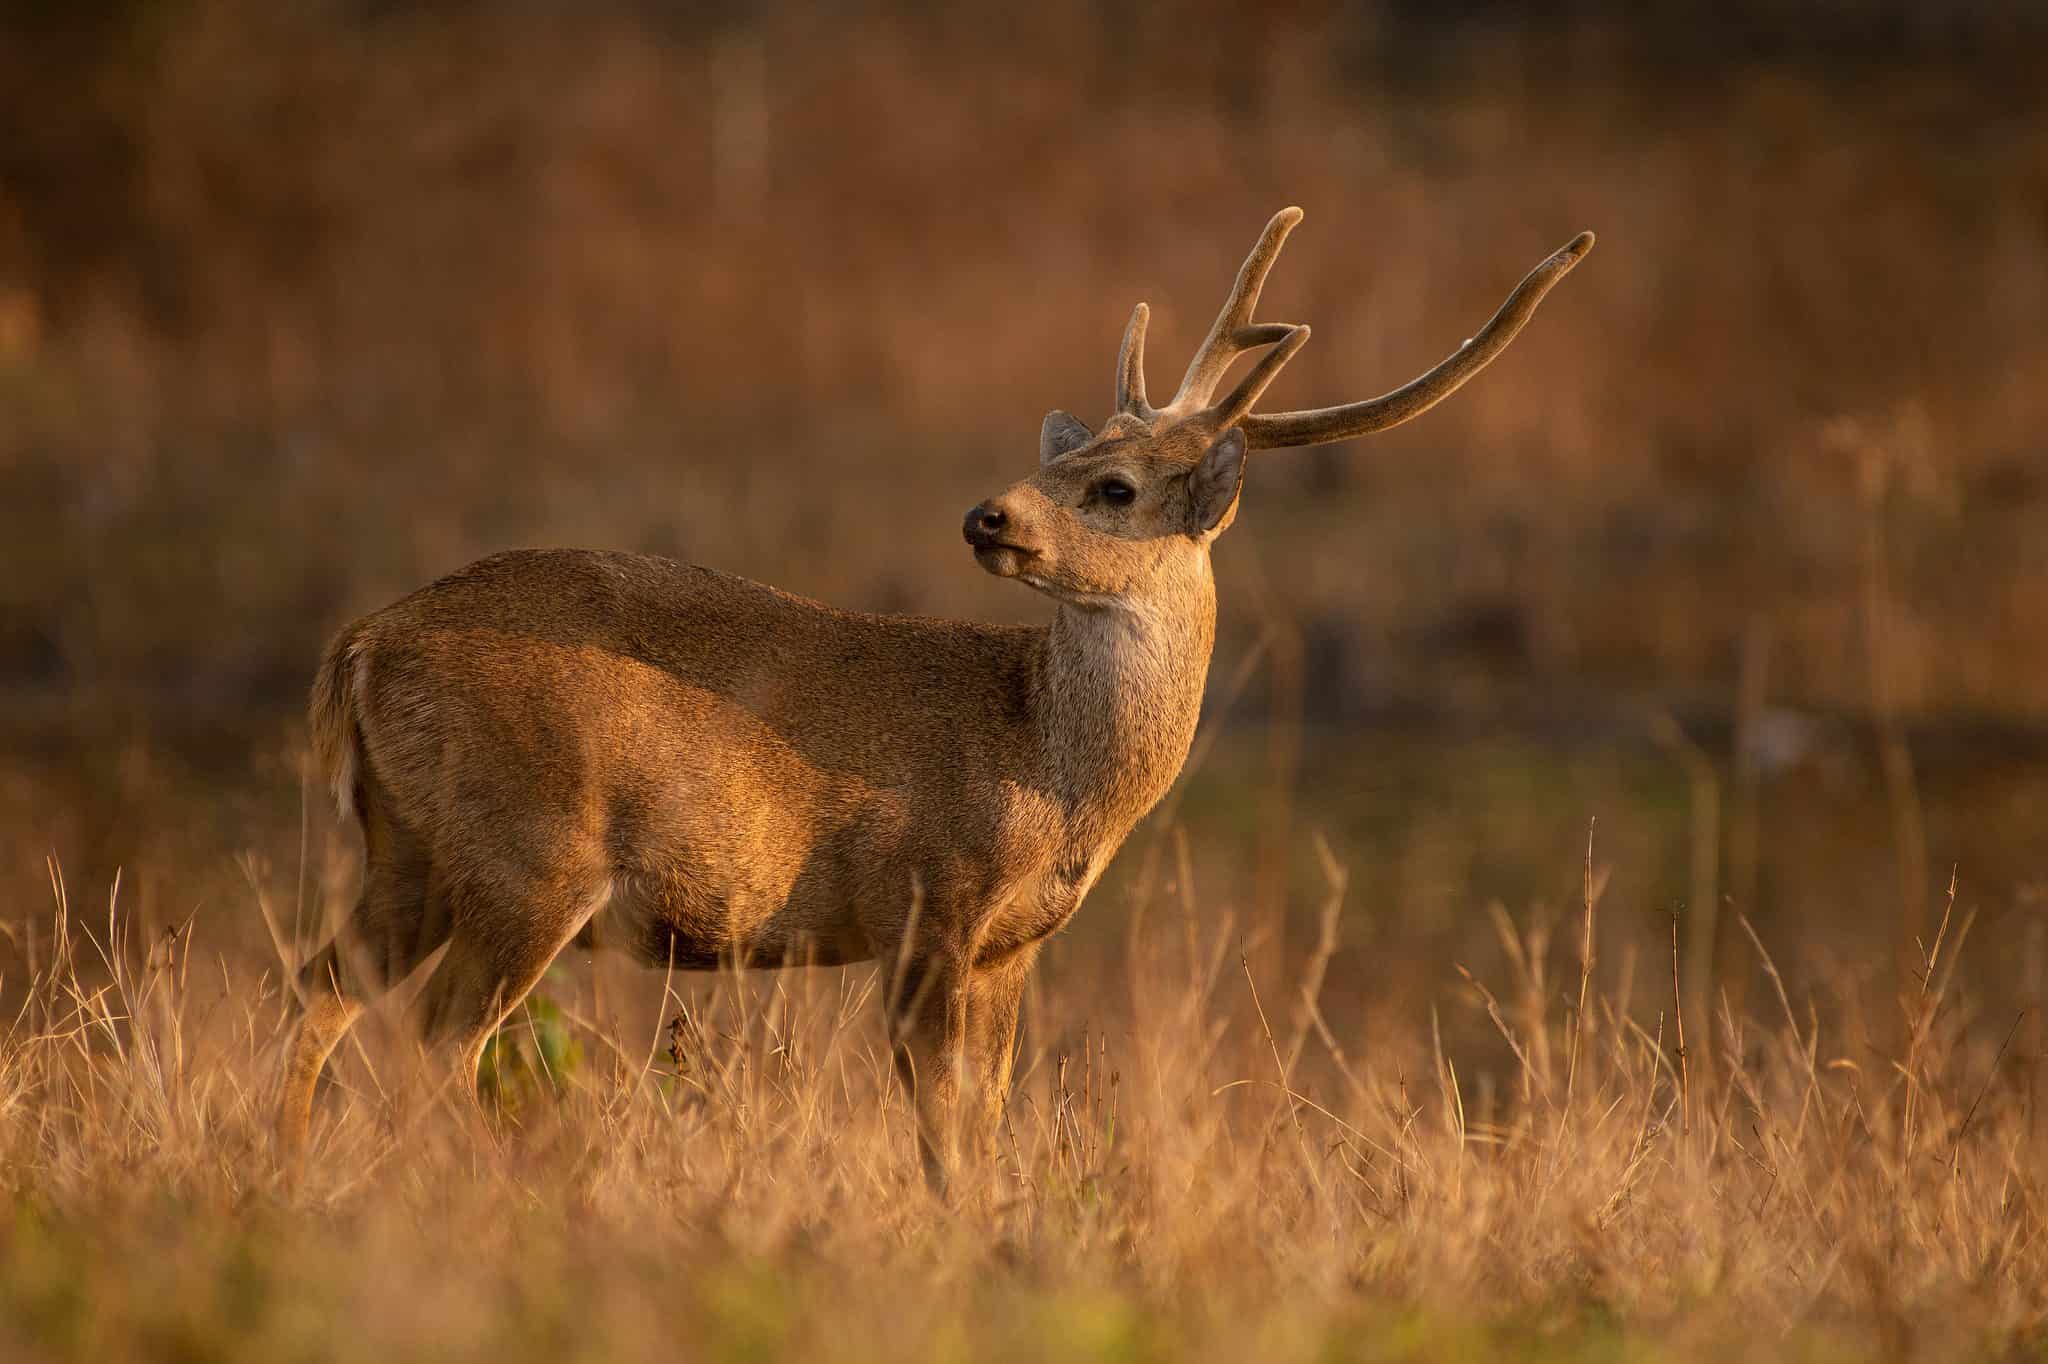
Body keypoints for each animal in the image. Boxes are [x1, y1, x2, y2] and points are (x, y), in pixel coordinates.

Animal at [278, 207, 1593, 1185]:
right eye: (1070, 458)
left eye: (1112, 486)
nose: (986, 515)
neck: (1052, 771)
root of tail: (361, 642)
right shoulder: (929, 899)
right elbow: (941, 1132)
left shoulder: (1005, 944)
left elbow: (983, 1122)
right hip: (532, 848)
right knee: (437, 1037)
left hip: (408, 847)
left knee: (322, 990)